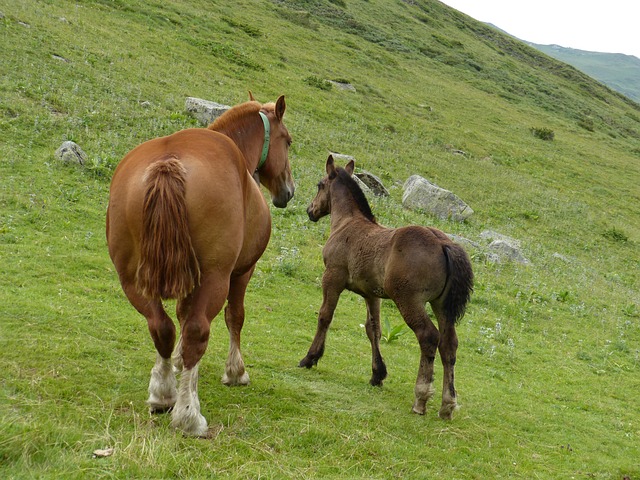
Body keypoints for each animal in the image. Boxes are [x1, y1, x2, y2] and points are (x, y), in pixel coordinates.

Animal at [106, 93, 294, 437]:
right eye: (287, 141)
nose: (288, 190)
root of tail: (168, 163)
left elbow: (181, 315)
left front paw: (179, 362)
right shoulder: (241, 272)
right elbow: (235, 317)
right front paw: (235, 372)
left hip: (133, 280)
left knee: (161, 327)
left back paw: (163, 394)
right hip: (216, 277)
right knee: (197, 331)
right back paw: (188, 415)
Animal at [299, 155, 473, 419]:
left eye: (320, 185)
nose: (311, 210)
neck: (347, 224)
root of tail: (443, 243)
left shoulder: (332, 278)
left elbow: (324, 316)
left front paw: (310, 357)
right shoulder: (372, 294)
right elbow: (374, 329)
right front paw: (377, 374)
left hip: (409, 301)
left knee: (429, 337)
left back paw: (421, 398)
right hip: (441, 305)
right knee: (449, 344)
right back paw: (447, 405)